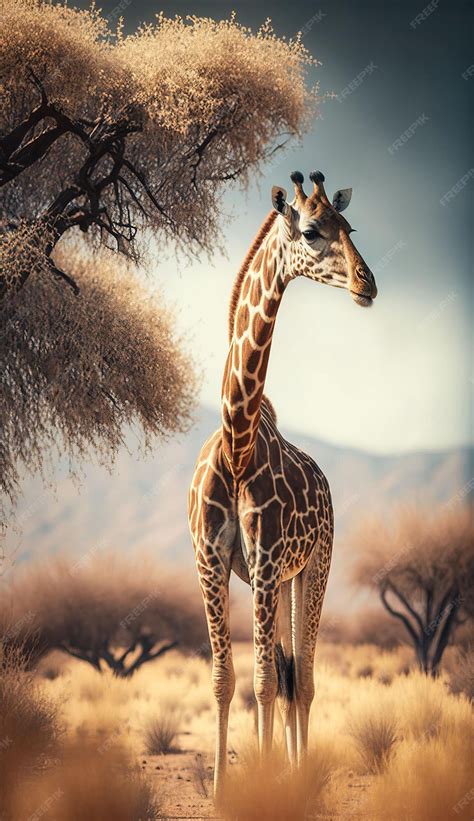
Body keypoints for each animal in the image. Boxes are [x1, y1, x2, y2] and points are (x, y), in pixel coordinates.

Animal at [188, 170, 377, 796]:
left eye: (351, 227)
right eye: (313, 229)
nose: (368, 284)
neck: (238, 443)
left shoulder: (269, 562)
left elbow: (266, 682)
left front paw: (268, 786)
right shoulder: (212, 562)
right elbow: (227, 680)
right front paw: (223, 790)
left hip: (314, 565)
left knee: (305, 679)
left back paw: (298, 776)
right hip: (285, 578)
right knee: (294, 675)